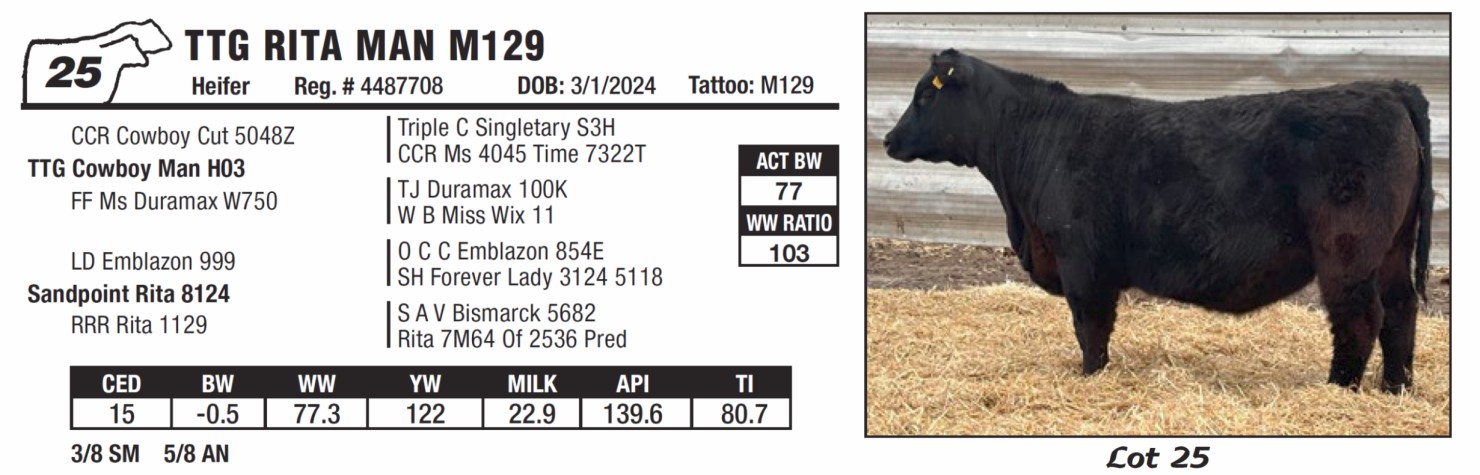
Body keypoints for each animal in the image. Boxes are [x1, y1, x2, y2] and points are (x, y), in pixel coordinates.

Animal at [883, 49, 1434, 393]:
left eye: (926, 95)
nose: (888, 139)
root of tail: (1389, 88)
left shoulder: (1082, 261)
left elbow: (1091, 327)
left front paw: (1091, 377)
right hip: (1391, 249)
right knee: (1401, 309)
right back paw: (1395, 389)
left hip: (1348, 249)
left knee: (1360, 317)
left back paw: (1339, 390)